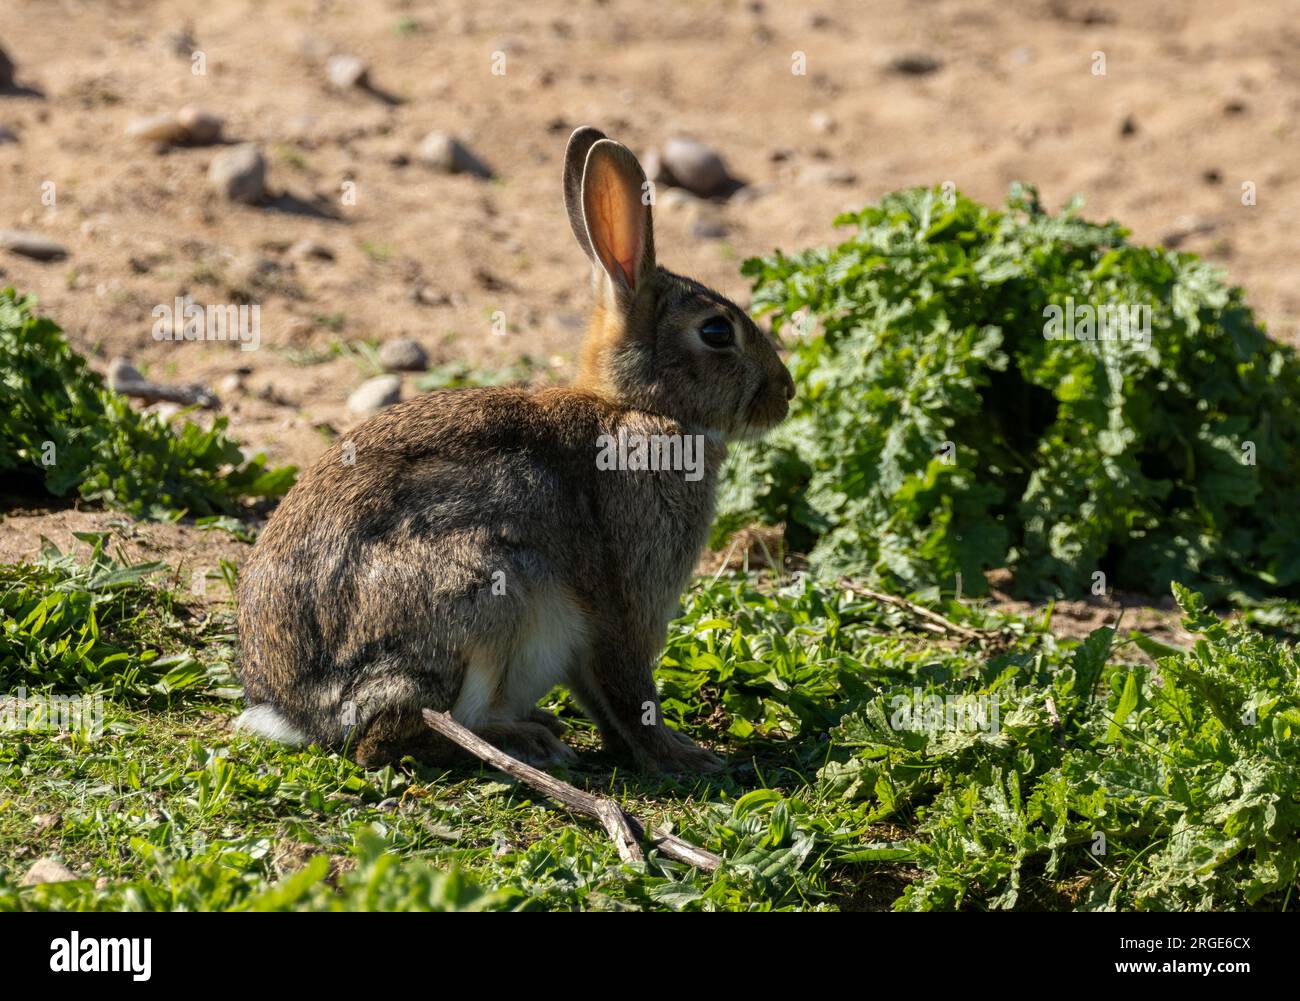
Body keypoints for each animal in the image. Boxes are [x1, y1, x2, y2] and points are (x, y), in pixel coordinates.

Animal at [235, 126, 795, 772]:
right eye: (716, 332)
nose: (785, 393)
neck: (641, 411)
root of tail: (298, 712)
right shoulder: (625, 608)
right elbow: (631, 691)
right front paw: (687, 759)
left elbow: (602, 697)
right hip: (487, 590)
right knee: (397, 735)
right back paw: (524, 742)